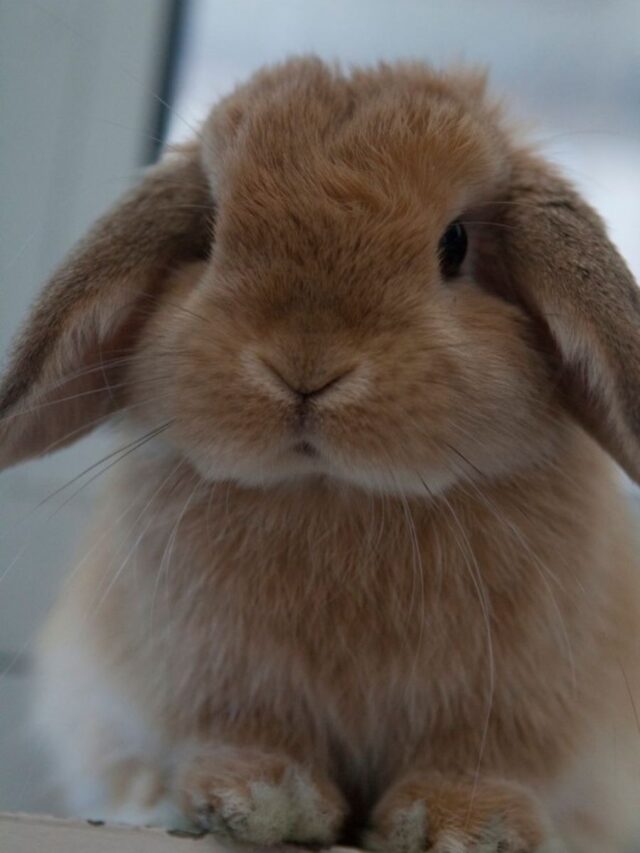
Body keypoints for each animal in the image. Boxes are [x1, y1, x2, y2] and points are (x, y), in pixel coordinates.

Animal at [2, 57, 640, 853]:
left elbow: (480, 763)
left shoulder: (510, 710)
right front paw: (267, 797)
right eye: (209, 235)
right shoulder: (219, 685)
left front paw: (461, 823)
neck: (336, 492)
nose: (305, 368)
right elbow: (243, 737)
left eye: (455, 244)